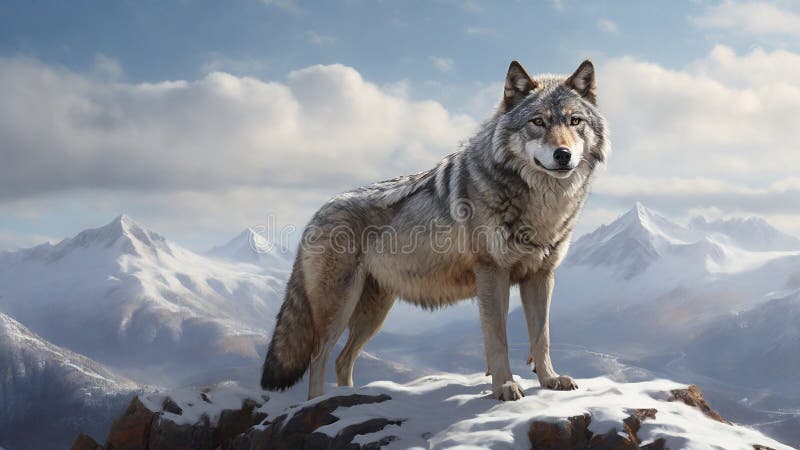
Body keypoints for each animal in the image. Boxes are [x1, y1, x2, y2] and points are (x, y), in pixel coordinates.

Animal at [261, 60, 609, 401]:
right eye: (538, 122)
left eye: (575, 121)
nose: (563, 155)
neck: (544, 204)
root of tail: (318, 212)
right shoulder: (492, 273)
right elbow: (498, 339)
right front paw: (504, 387)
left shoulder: (540, 275)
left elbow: (542, 337)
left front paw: (549, 380)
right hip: (340, 308)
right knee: (318, 359)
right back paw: (318, 402)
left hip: (374, 312)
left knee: (342, 360)